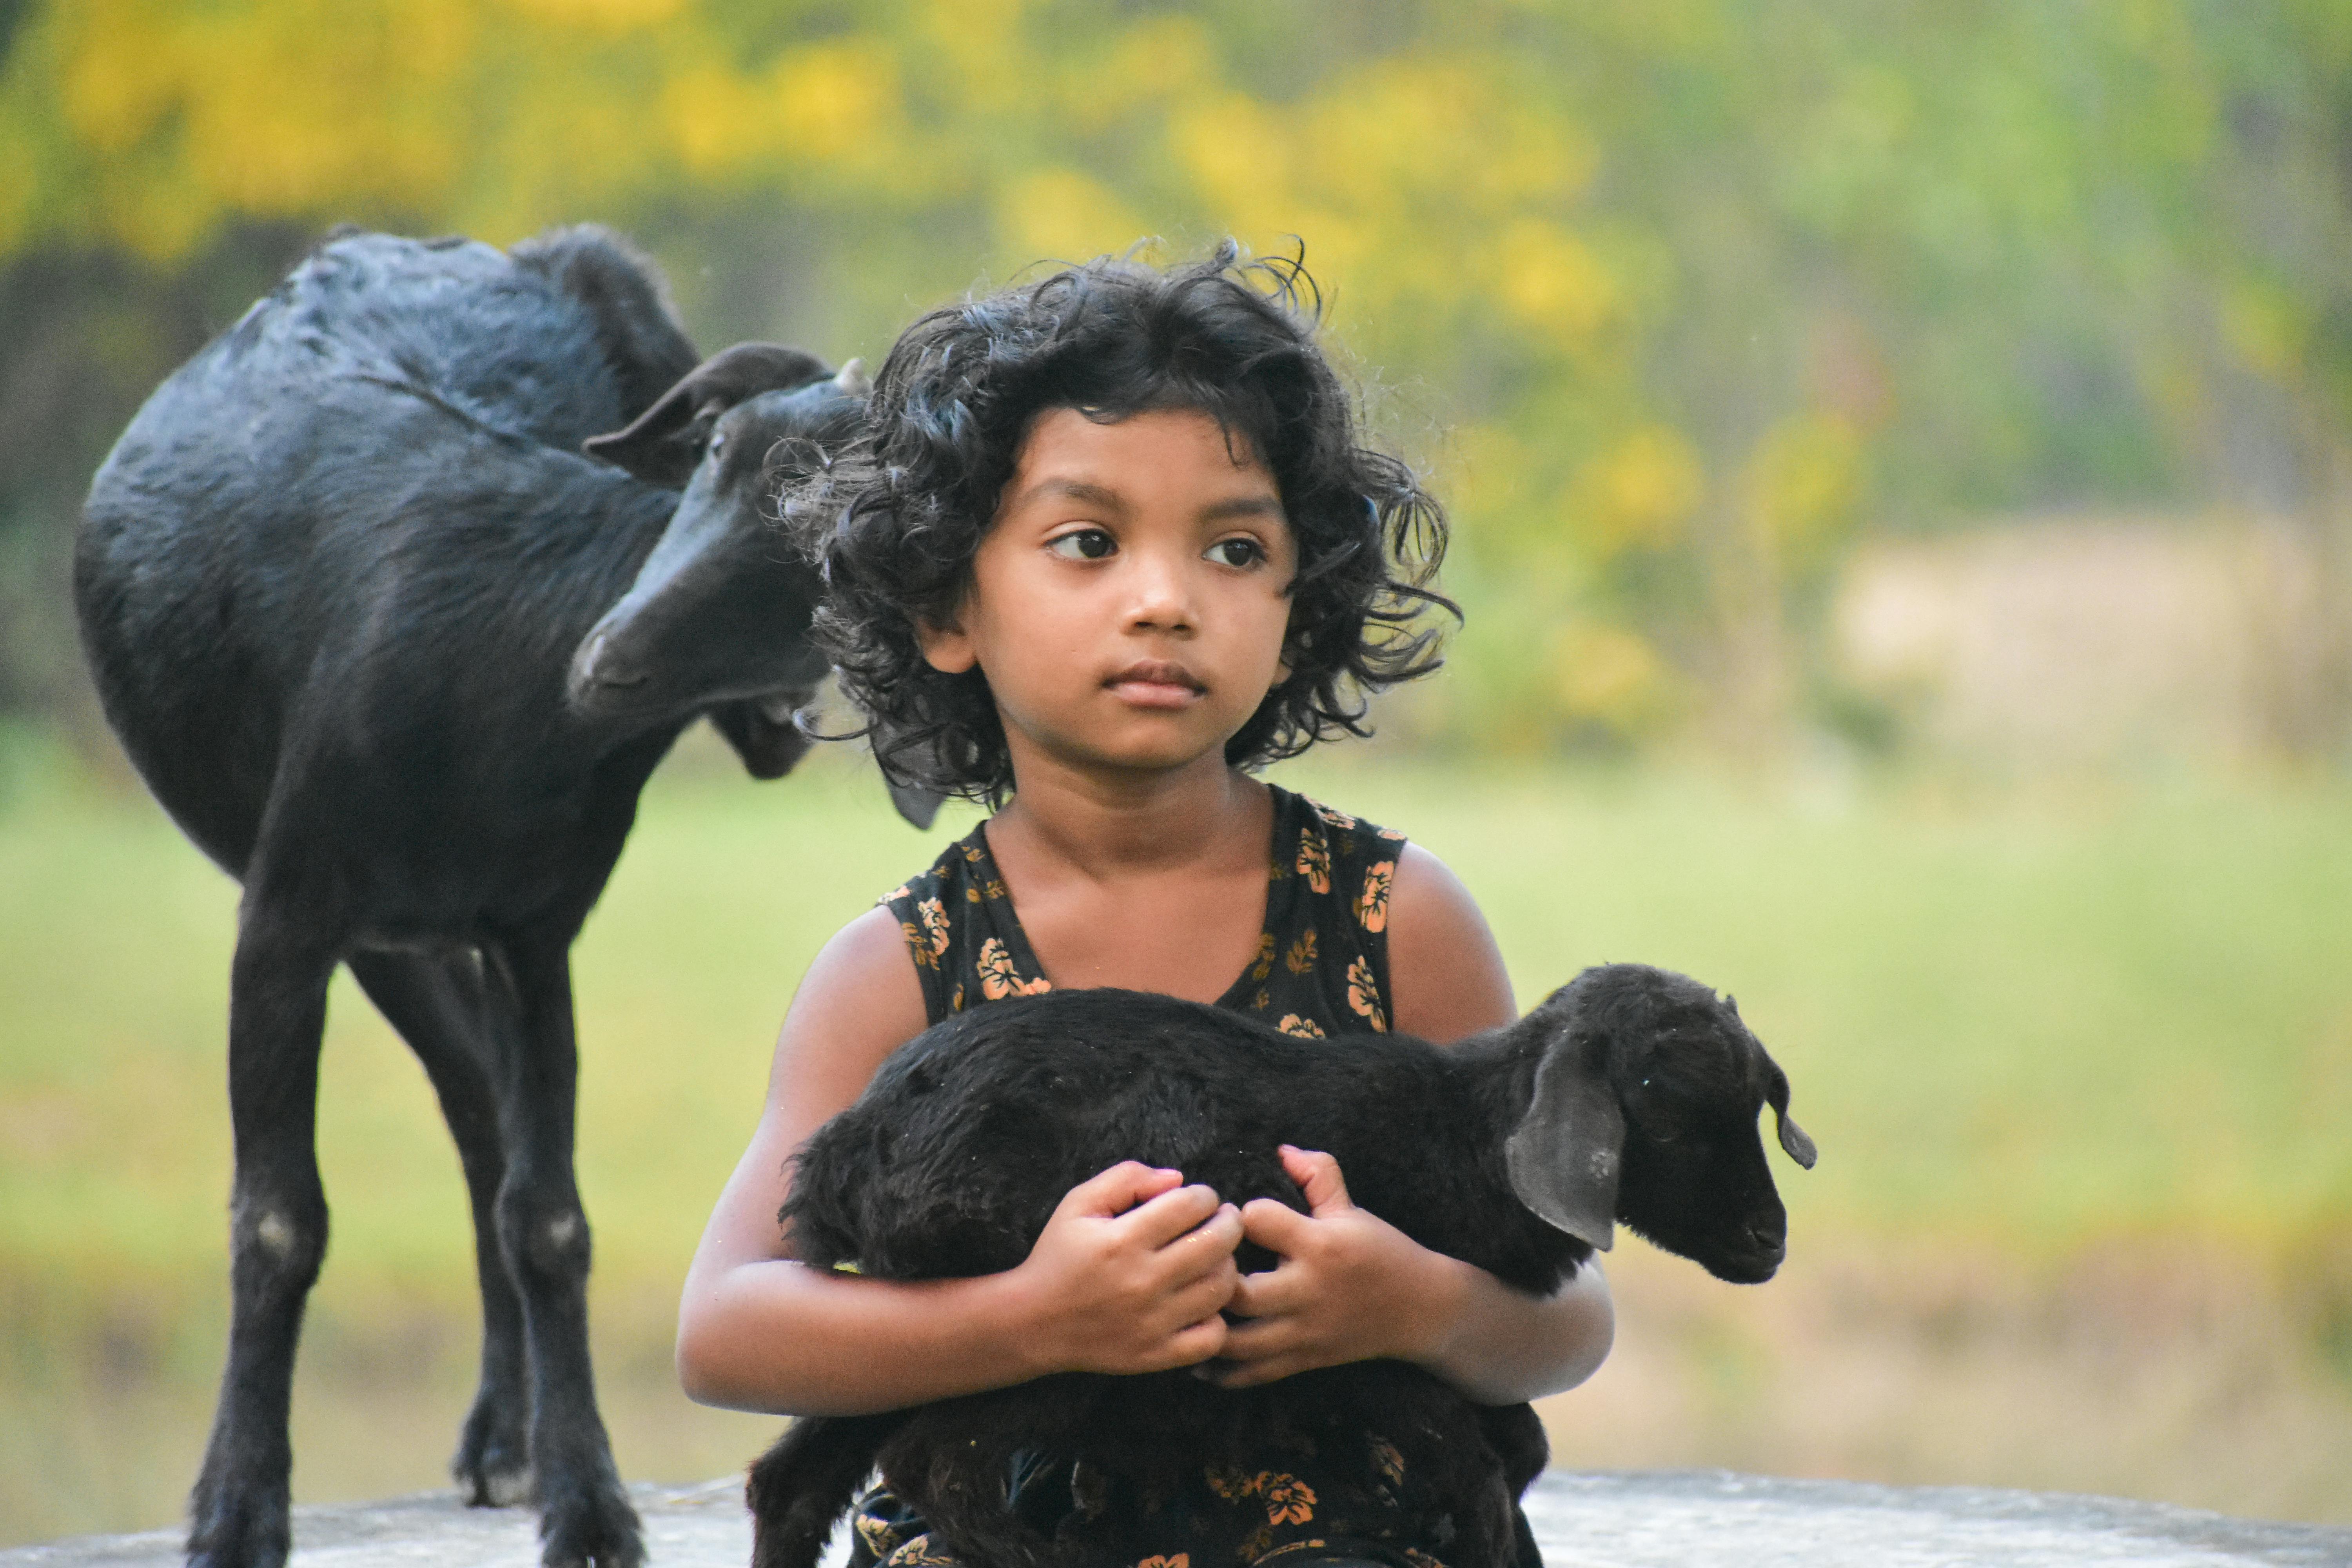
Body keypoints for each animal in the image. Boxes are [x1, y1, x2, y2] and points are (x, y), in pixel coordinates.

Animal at [73, 225, 903, 1568]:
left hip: (424, 933)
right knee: (464, 1101)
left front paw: (589, 1500)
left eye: (836, 547)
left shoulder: (534, 926)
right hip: (367, 920)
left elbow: (547, 1213)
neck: (495, 697)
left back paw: (506, 1437)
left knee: (479, 1116)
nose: (608, 658)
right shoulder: (288, 906)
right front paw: (237, 1509)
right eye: (715, 454)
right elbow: (277, 1218)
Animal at [748, 962, 1817, 1568]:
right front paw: (1461, 1527)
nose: (1768, 1239)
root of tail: (857, 1138)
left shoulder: (1446, 1338)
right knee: (938, 1464)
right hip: (1046, 1326)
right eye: (1666, 1115)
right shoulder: (1368, 1352)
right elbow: (1476, 1459)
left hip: (917, 1320)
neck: (1462, 1135)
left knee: (794, 1474)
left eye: (1756, 1104)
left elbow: (1522, 1443)